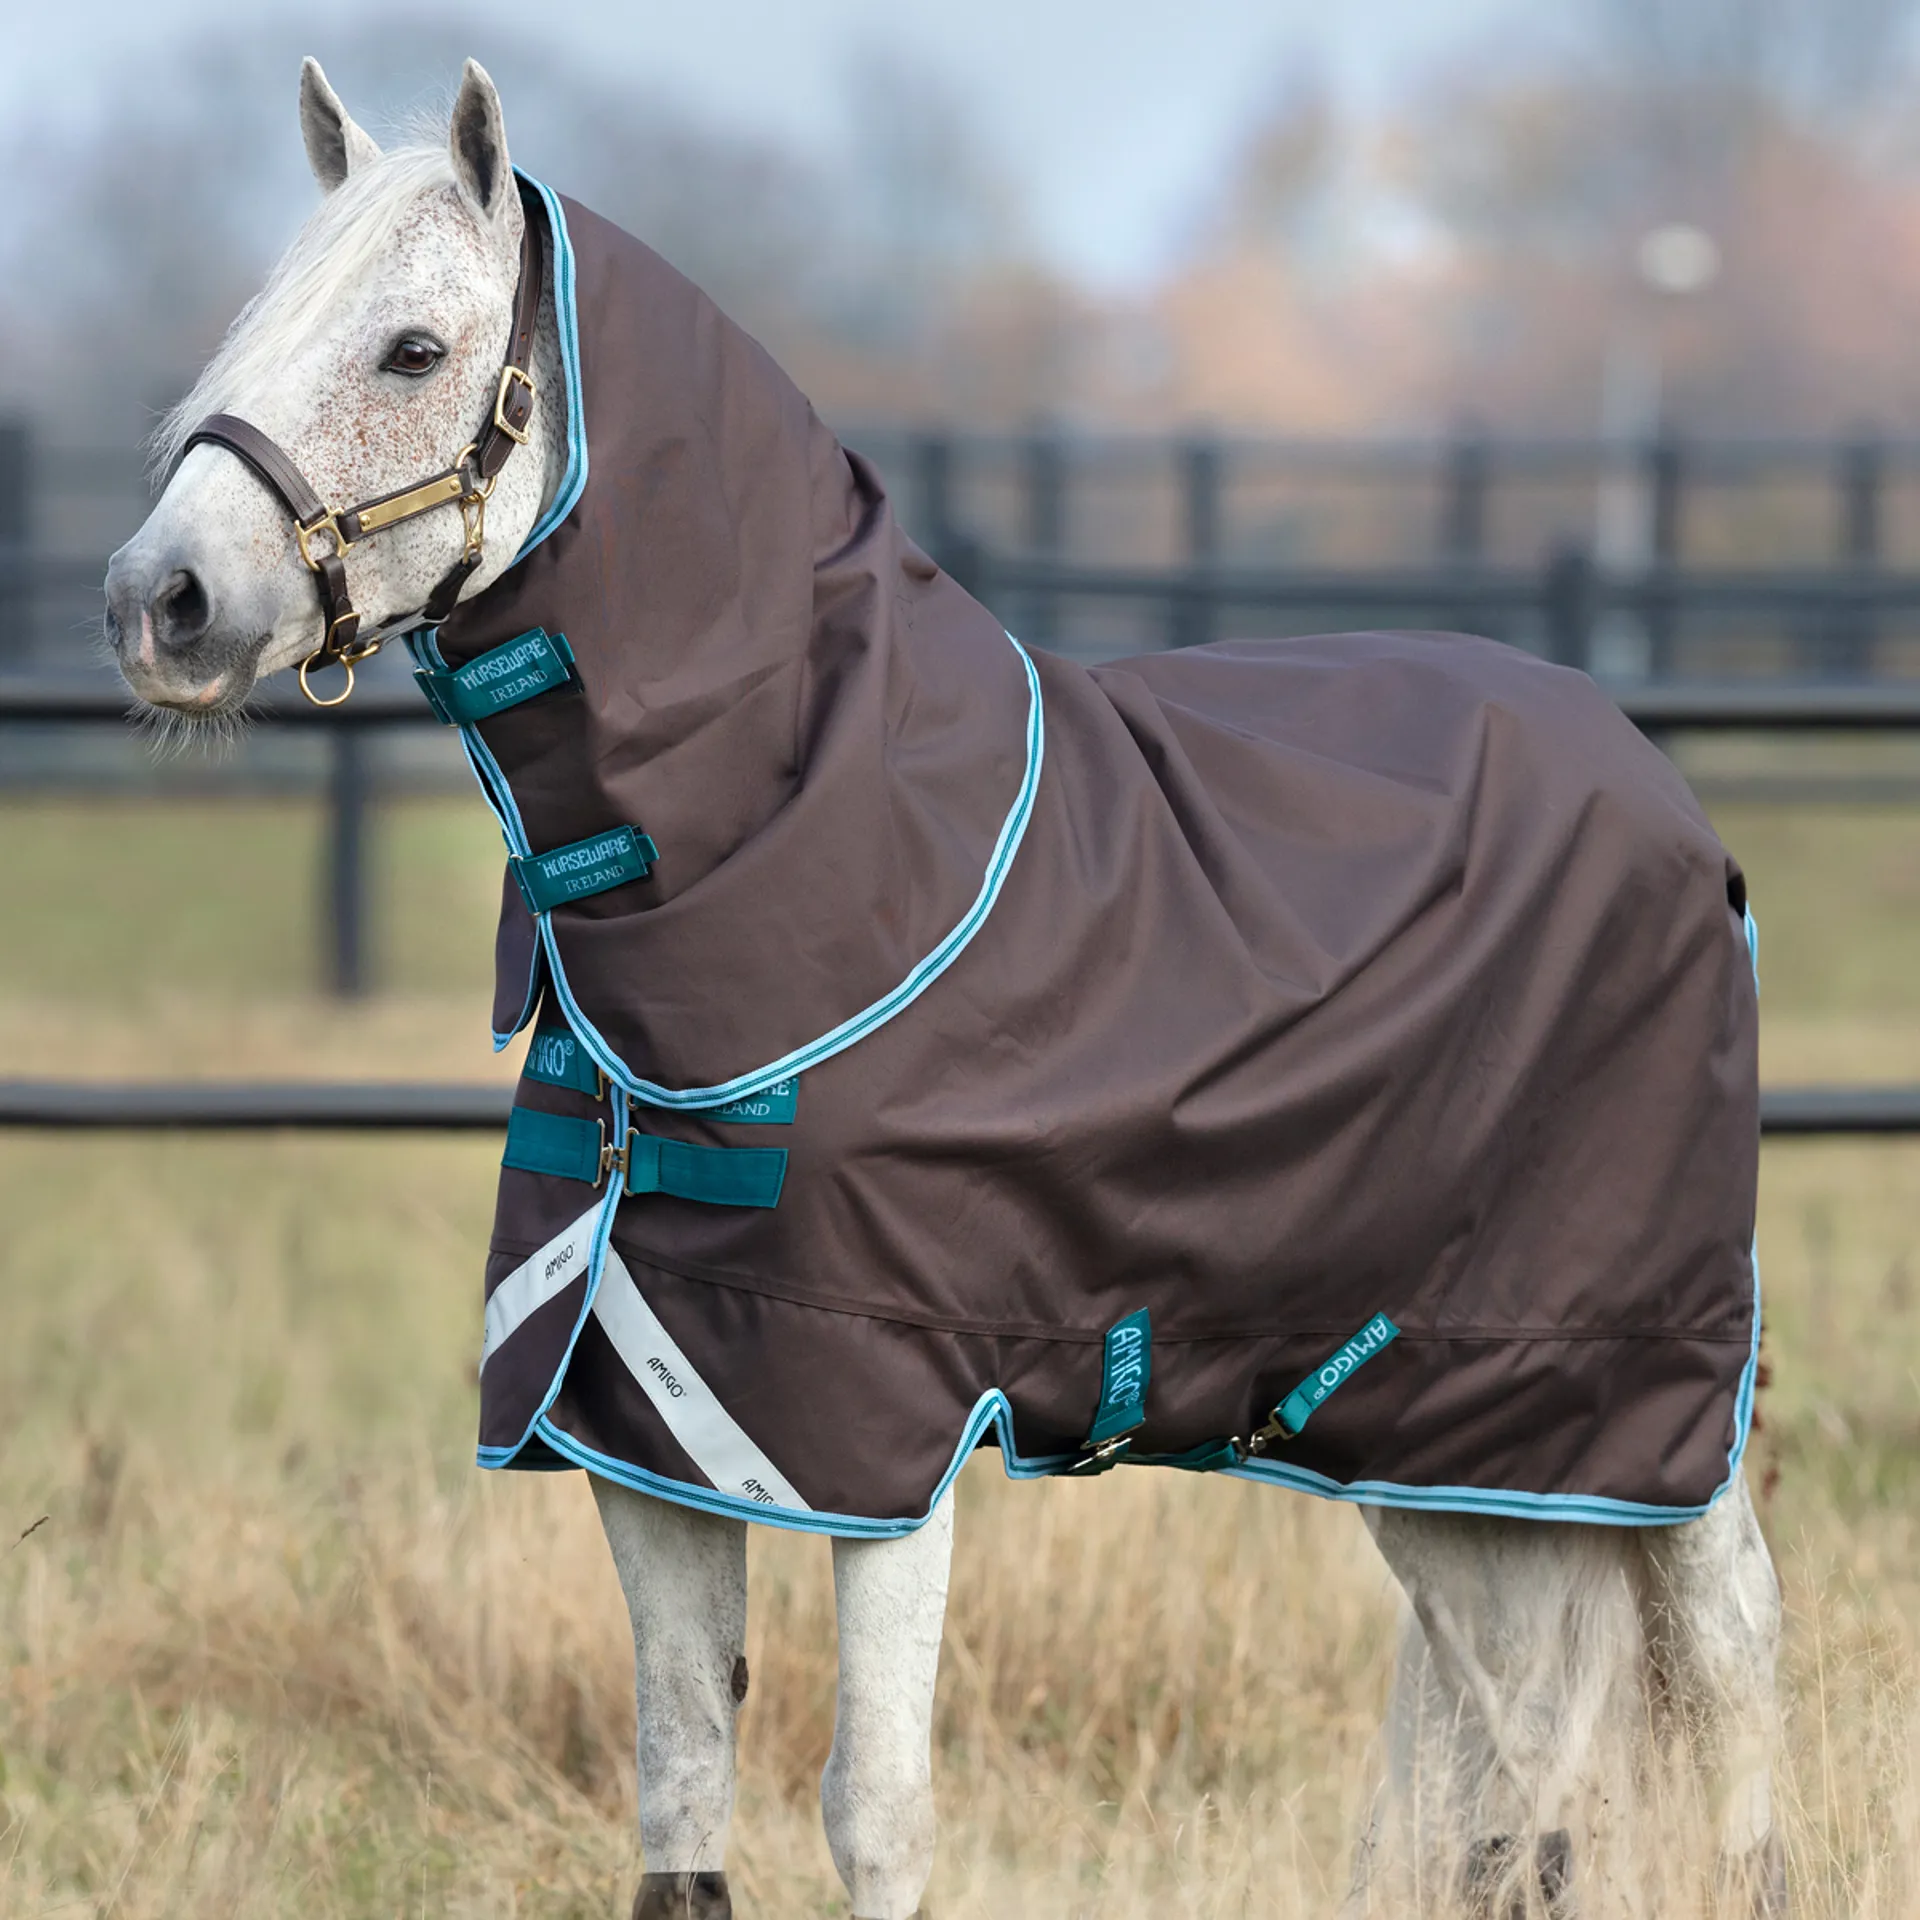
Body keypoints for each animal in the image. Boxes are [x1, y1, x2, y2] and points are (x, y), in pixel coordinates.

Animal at [102, 59, 1786, 1920]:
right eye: (259, 319)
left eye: (411, 350)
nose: (157, 600)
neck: (831, 853)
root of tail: (1653, 783)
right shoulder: (649, 1426)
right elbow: (681, 1787)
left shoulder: (882, 1433)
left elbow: (877, 1807)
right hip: (1438, 1420)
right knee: (1526, 1733)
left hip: (1643, 1380)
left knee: (1726, 1661)